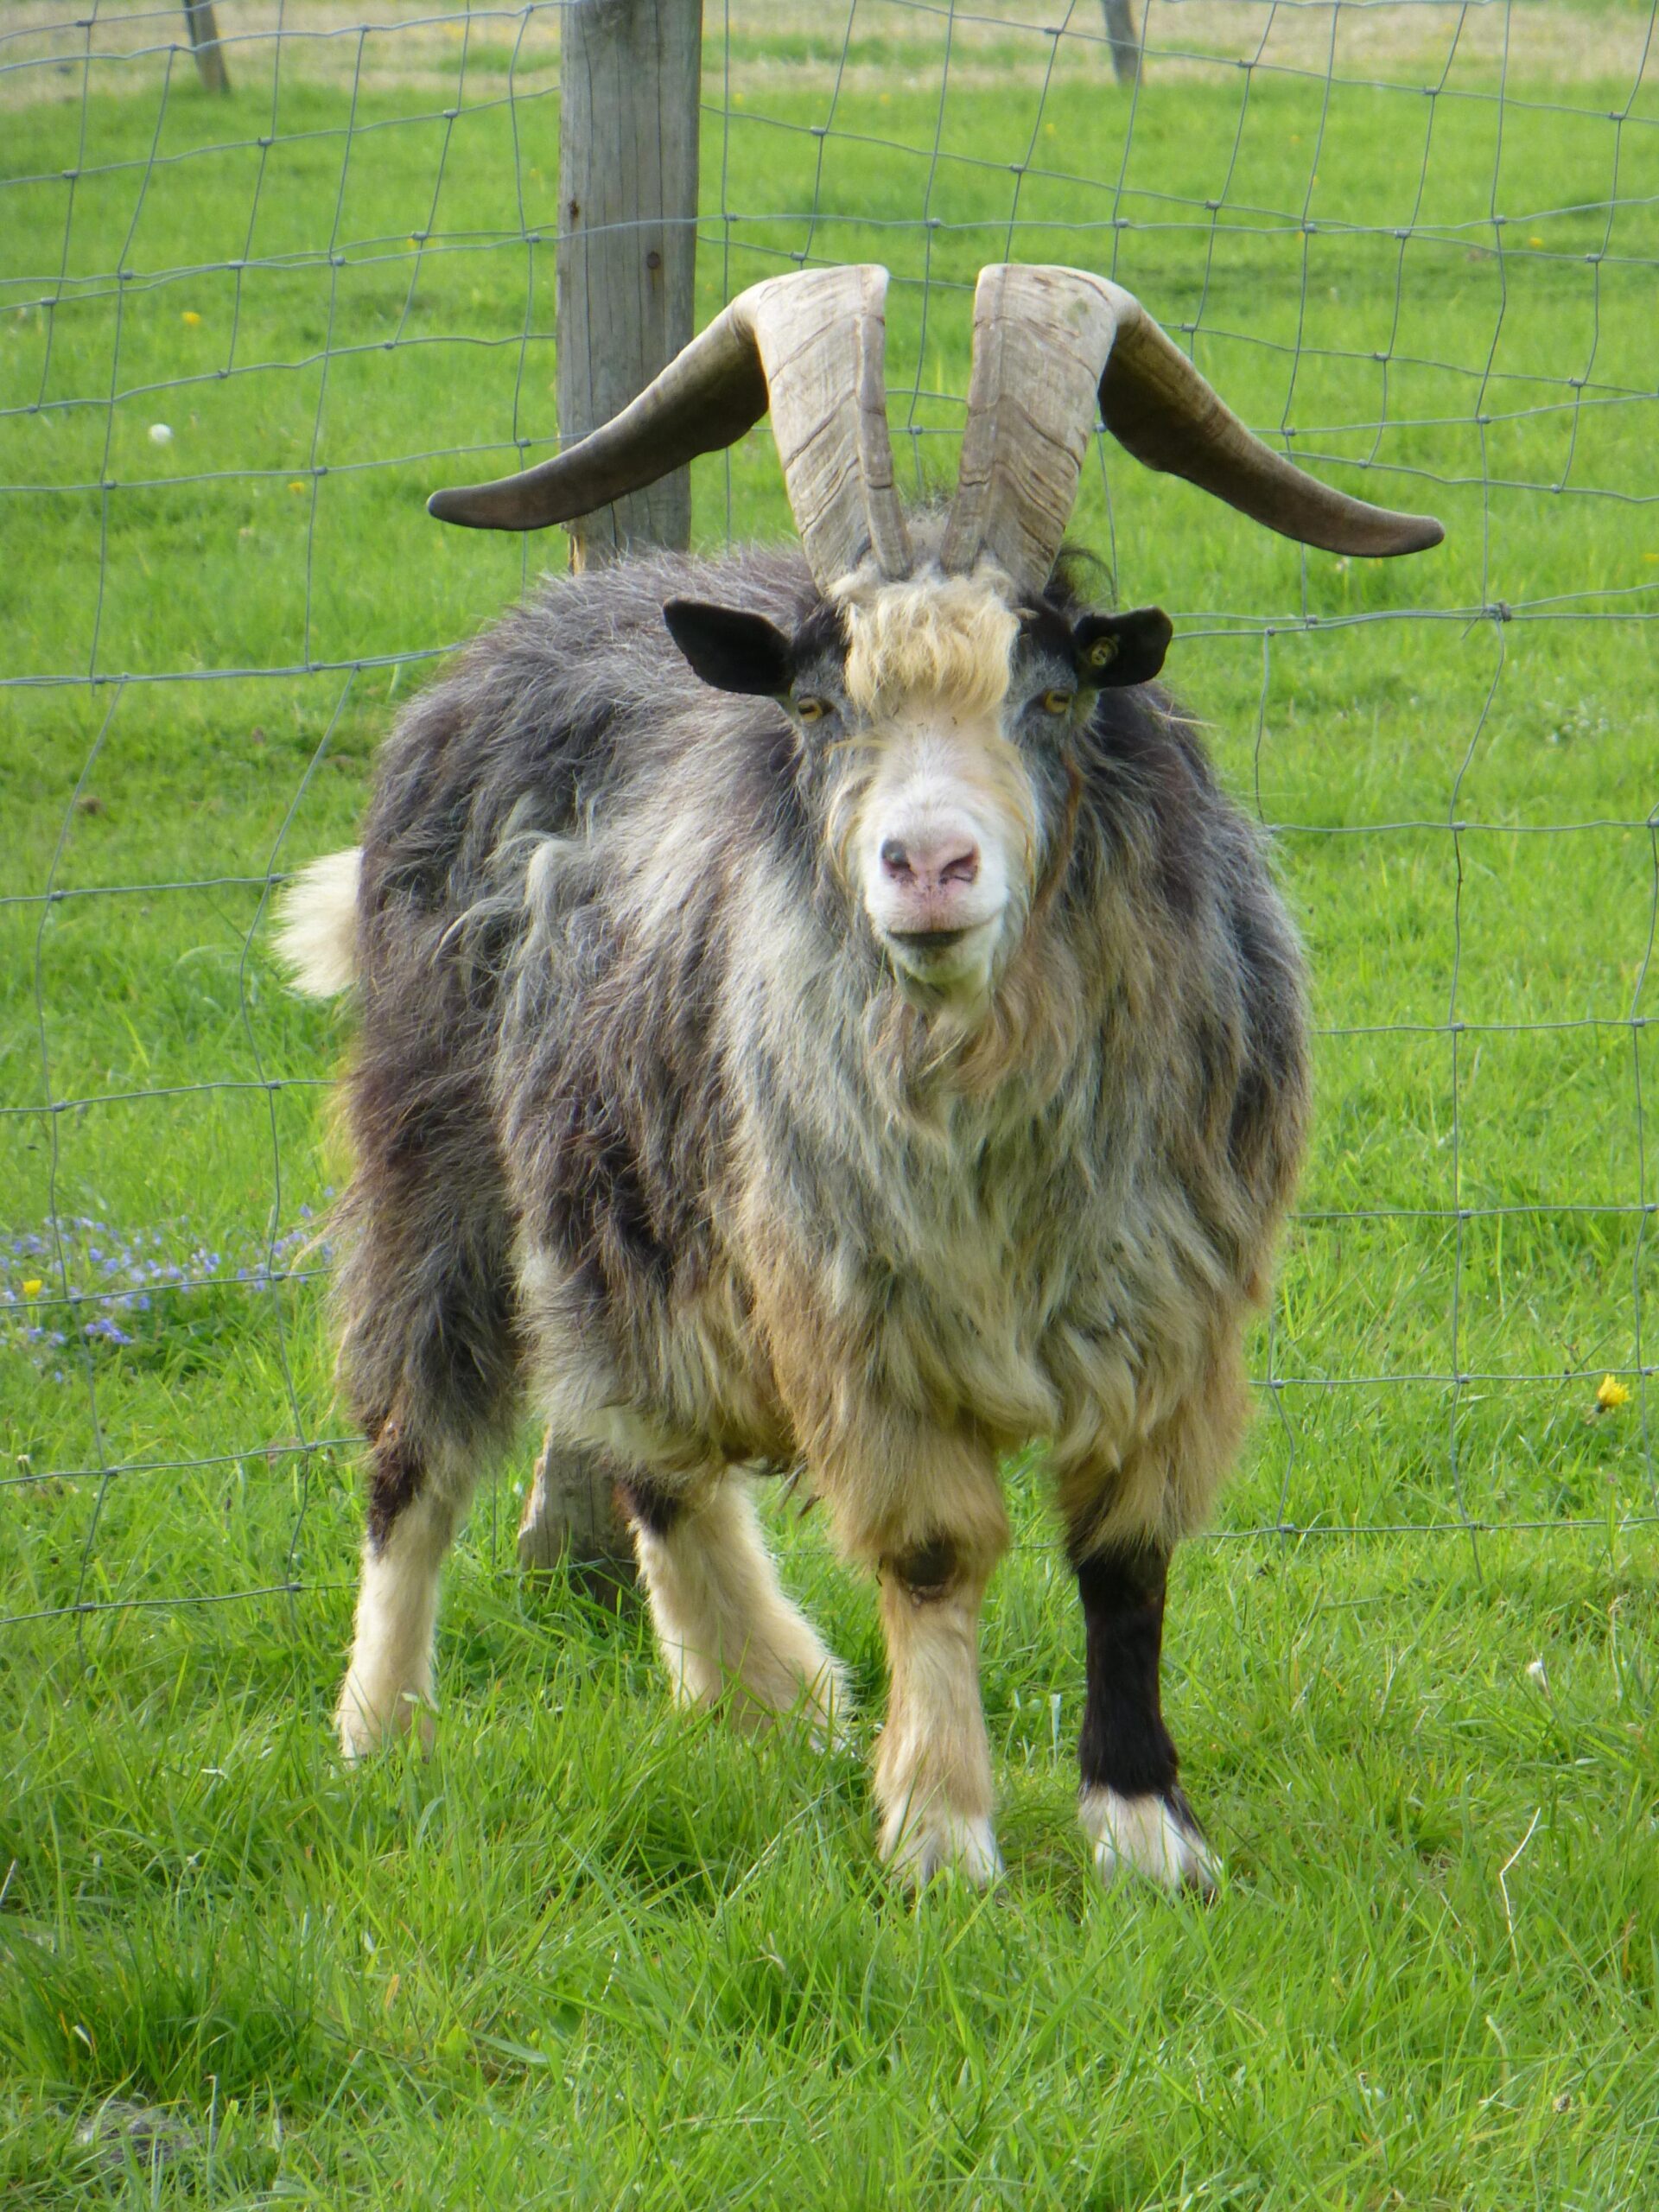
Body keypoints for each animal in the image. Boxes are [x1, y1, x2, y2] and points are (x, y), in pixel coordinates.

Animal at [278, 264, 1441, 1888]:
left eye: (1057, 694)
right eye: (821, 706)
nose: (929, 864)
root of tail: (520, 636)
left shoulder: (1167, 1307)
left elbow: (1125, 1556)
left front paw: (1146, 1833)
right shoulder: (856, 1306)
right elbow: (937, 1556)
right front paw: (943, 1831)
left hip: (623, 1193)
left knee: (644, 1443)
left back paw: (763, 1691)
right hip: (440, 1143)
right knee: (417, 1438)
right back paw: (381, 1731)